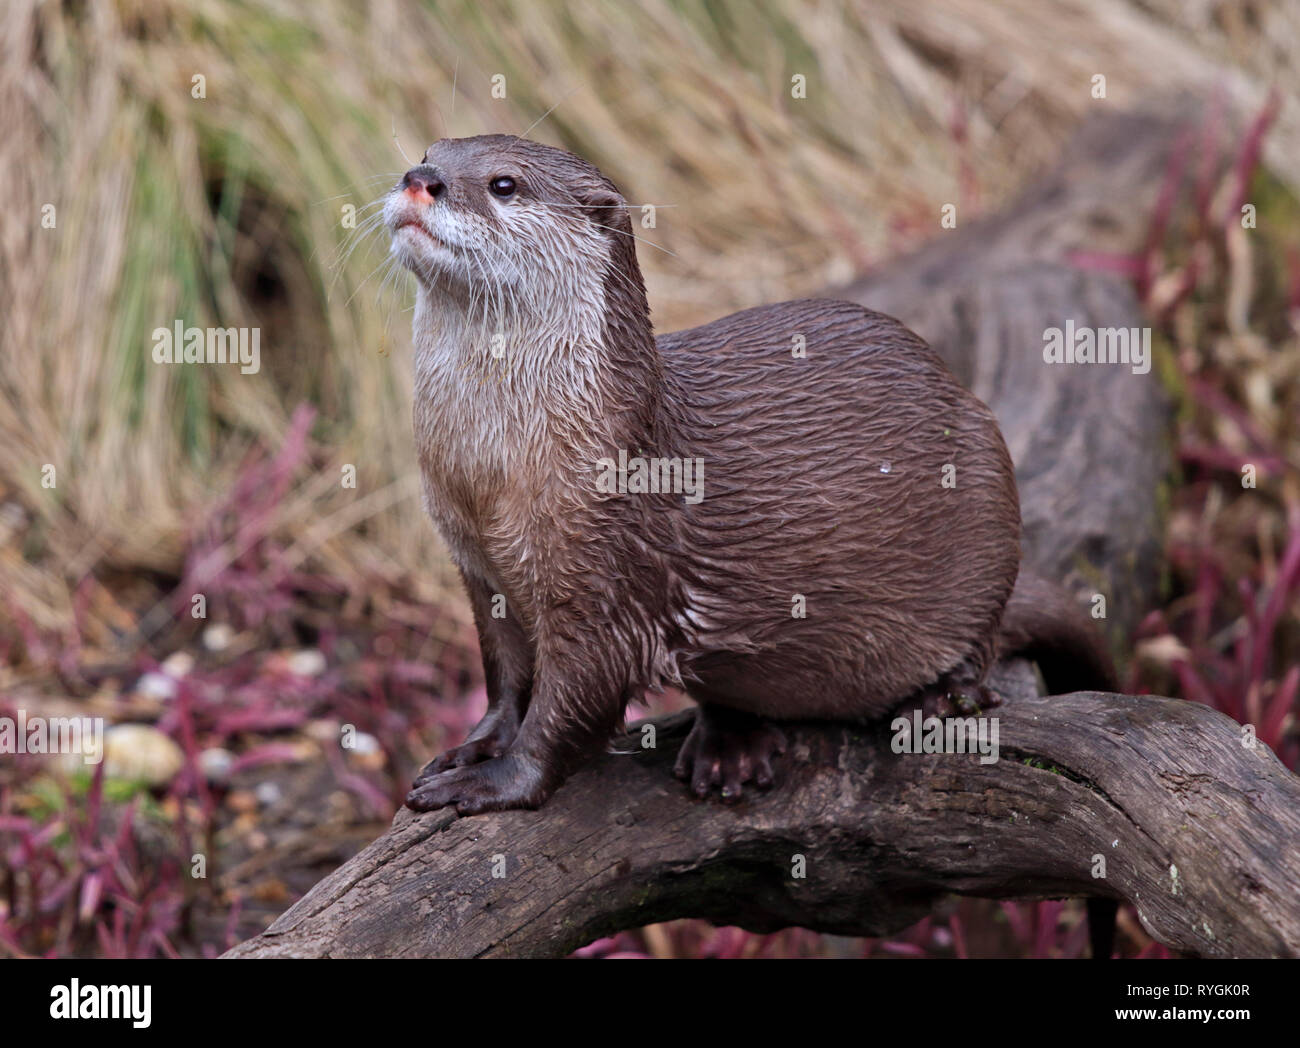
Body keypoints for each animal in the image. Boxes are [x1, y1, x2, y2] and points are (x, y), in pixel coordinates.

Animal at [383, 134, 1116, 819]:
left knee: (983, 639)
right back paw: (728, 747)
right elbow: (506, 682)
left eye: (504, 184)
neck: (488, 482)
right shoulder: (479, 571)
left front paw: (495, 780)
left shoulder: (603, 579)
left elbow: (571, 708)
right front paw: (471, 746)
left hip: (988, 491)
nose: (421, 178)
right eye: (430, 150)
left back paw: (942, 695)